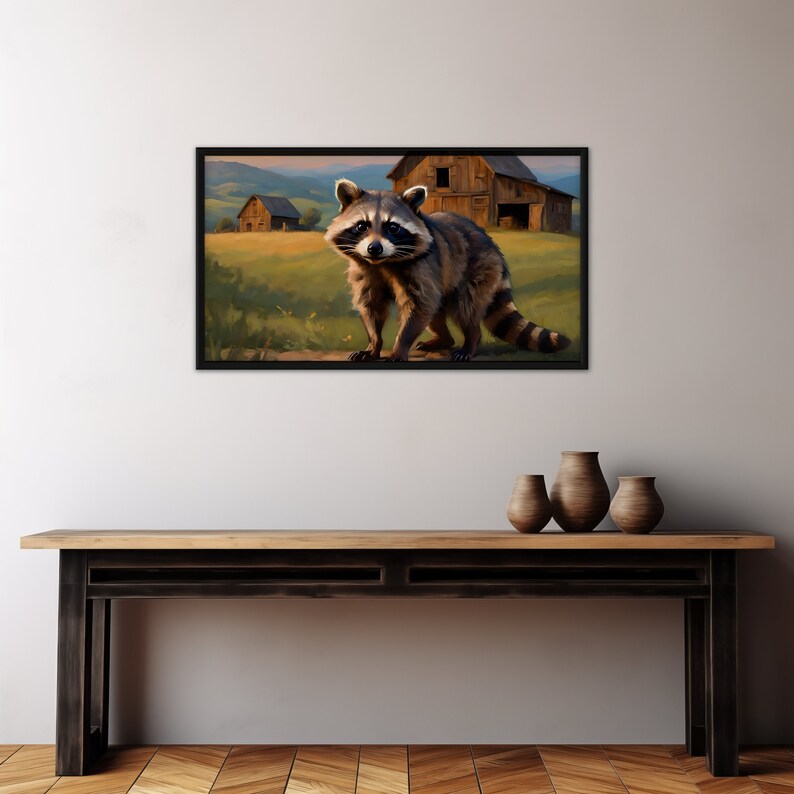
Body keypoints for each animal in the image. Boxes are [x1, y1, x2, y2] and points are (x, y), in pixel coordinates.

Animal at [324, 179, 571, 362]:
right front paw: (374, 344)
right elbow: (372, 307)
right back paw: (444, 339)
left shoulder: (422, 267)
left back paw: (470, 340)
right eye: (361, 226)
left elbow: (418, 306)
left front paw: (400, 346)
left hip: (478, 268)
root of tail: (491, 244)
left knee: (466, 306)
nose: (374, 248)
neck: (383, 263)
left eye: (392, 227)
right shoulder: (366, 271)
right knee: (435, 312)